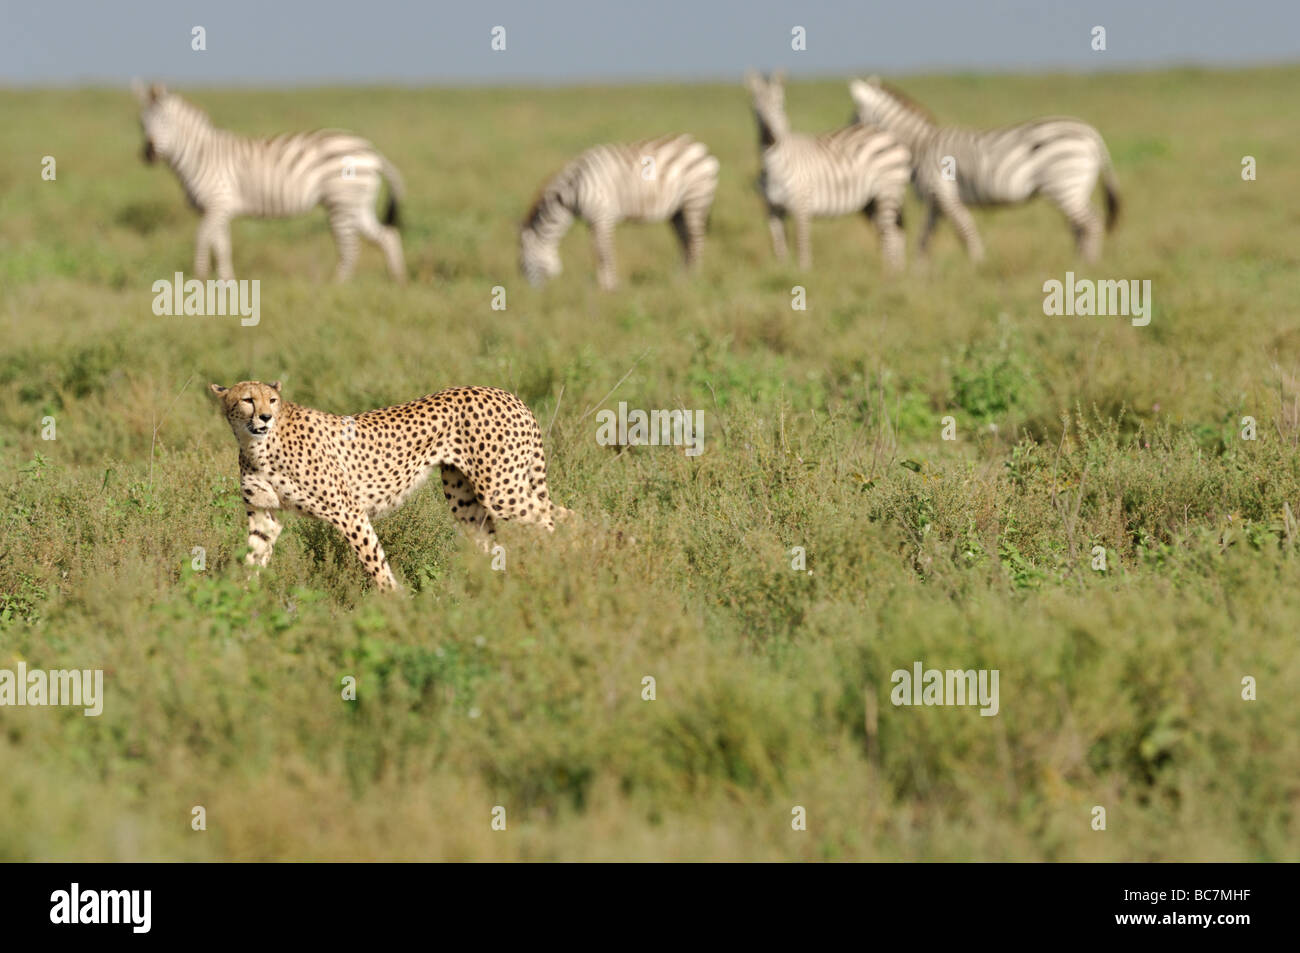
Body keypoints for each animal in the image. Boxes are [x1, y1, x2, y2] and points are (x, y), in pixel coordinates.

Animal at [132, 81, 406, 282]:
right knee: (388, 235)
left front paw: (199, 278)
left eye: (165, 121)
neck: (200, 156)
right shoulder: (217, 210)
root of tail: (371, 150)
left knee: (350, 249)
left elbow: (202, 238)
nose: (148, 154)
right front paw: (226, 282)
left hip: (342, 203)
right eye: (141, 123)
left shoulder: (218, 204)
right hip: (357, 204)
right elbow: (222, 246)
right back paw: (397, 280)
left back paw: (336, 287)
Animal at [519, 135, 720, 290]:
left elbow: (604, 252)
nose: (533, 295)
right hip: (678, 211)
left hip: (695, 200)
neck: (572, 192)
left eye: (523, 267)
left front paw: (610, 287)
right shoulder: (592, 221)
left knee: (696, 241)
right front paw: (603, 286)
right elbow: (597, 251)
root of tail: (700, 148)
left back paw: (694, 280)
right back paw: (682, 278)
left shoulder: (602, 217)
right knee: (685, 240)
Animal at [745, 70, 910, 272]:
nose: (769, 137)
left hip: (889, 190)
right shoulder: (772, 209)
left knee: (891, 232)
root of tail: (887, 134)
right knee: (892, 232)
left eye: (780, 105)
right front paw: (782, 270)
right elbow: (779, 246)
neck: (773, 166)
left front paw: (803, 273)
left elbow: (801, 243)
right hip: (872, 201)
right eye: (755, 108)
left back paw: (890, 273)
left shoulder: (801, 204)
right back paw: (895, 272)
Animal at [848, 77, 1121, 263]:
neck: (920, 146)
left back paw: (1088, 266)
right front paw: (919, 275)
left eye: (853, 118)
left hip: (1065, 184)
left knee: (1091, 222)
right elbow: (925, 239)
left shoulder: (945, 193)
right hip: (1073, 188)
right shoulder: (935, 201)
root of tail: (1092, 134)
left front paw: (977, 267)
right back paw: (1077, 263)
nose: (848, 139)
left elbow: (965, 230)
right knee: (1080, 226)